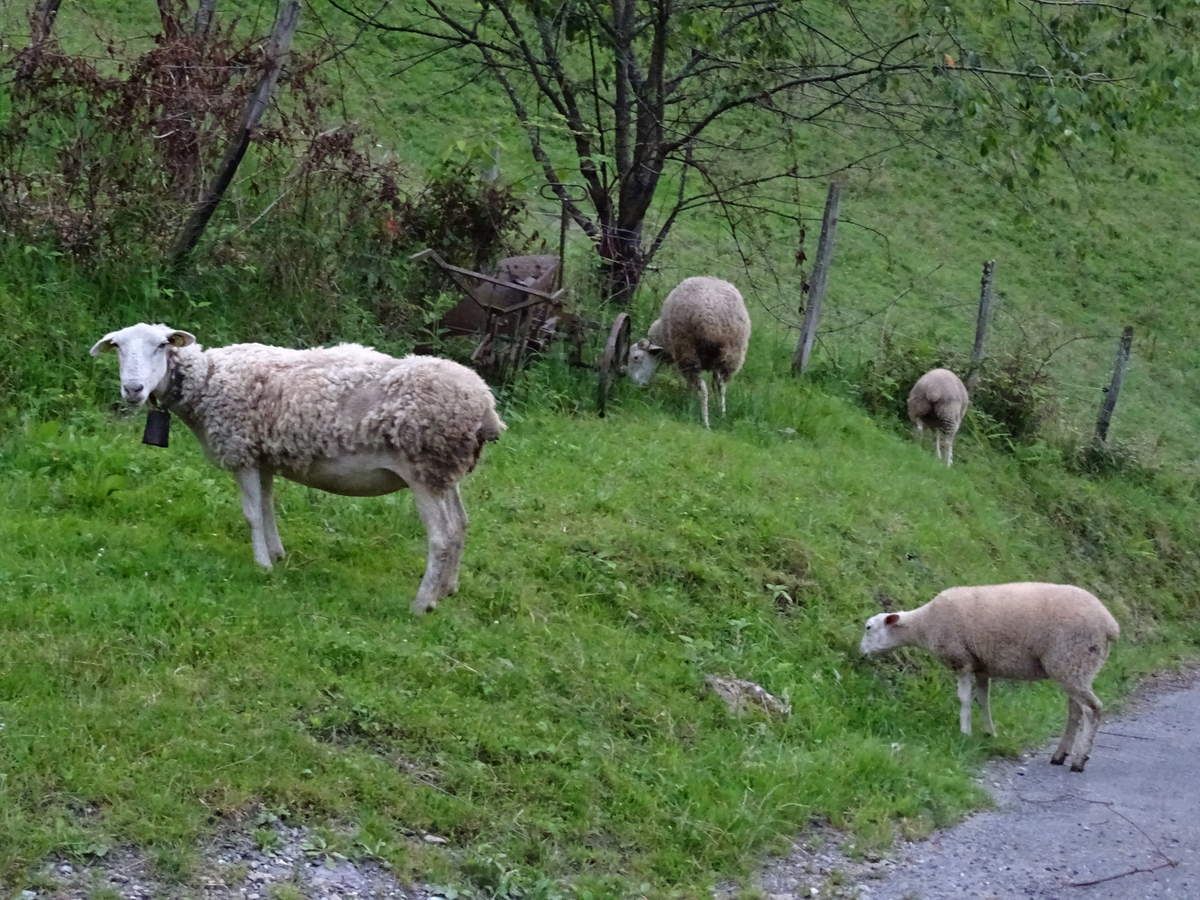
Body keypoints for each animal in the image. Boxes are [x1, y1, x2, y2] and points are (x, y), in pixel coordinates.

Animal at [90, 322, 505, 614]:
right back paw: (448, 588)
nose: (133, 389)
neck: (207, 381)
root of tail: (484, 404)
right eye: (118, 347)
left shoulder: (241, 451)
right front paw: (277, 554)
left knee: (441, 536)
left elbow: (251, 513)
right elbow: (268, 508)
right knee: (461, 524)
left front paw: (262, 566)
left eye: (162, 345)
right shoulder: (263, 456)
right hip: (445, 472)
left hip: (423, 468)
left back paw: (422, 604)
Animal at [626, 276, 751, 428]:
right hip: (732, 354)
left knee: (702, 387)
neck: (662, 339)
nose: (633, 385)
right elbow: (716, 386)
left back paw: (705, 421)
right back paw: (722, 415)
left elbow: (691, 385)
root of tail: (713, 322)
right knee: (722, 386)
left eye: (636, 357)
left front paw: (688, 400)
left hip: (687, 350)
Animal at [859, 582, 1119, 772]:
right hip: (1074, 668)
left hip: (1072, 659)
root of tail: (1110, 624)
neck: (924, 625)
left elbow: (964, 700)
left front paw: (964, 732)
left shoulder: (961, 661)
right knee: (1075, 712)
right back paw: (1060, 755)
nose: (861, 653)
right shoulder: (982, 667)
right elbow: (983, 700)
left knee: (1092, 709)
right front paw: (989, 733)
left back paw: (1079, 760)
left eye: (869, 628)